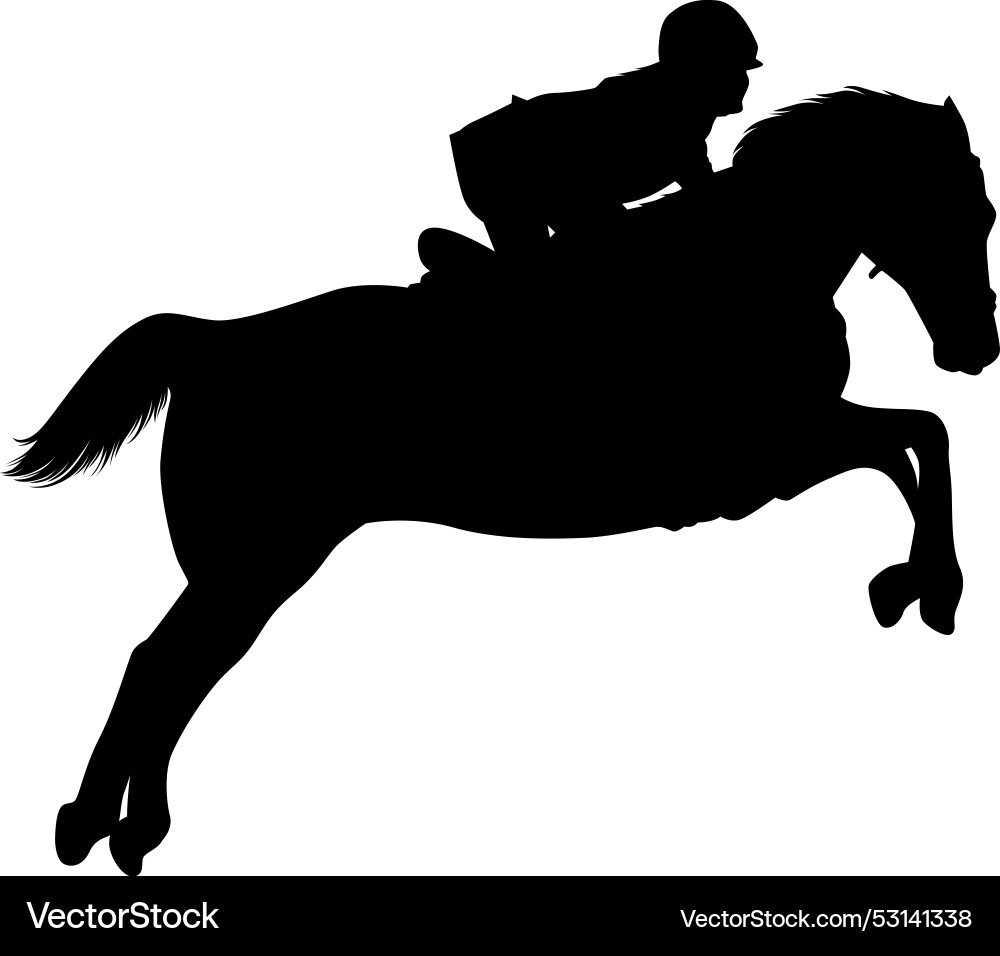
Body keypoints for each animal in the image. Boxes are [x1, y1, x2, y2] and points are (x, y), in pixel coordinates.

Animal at [7, 89, 997, 875]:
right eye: (964, 209)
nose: (976, 348)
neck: (750, 265)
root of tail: (213, 339)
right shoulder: (773, 451)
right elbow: (921, 437)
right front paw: (933, 586)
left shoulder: (788, 450)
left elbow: (911, 446)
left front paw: (909, 587)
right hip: (258, 563)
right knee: (163, 667)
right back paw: (105, 821)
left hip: (243, 567)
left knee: (171, 669)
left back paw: (120, 826)